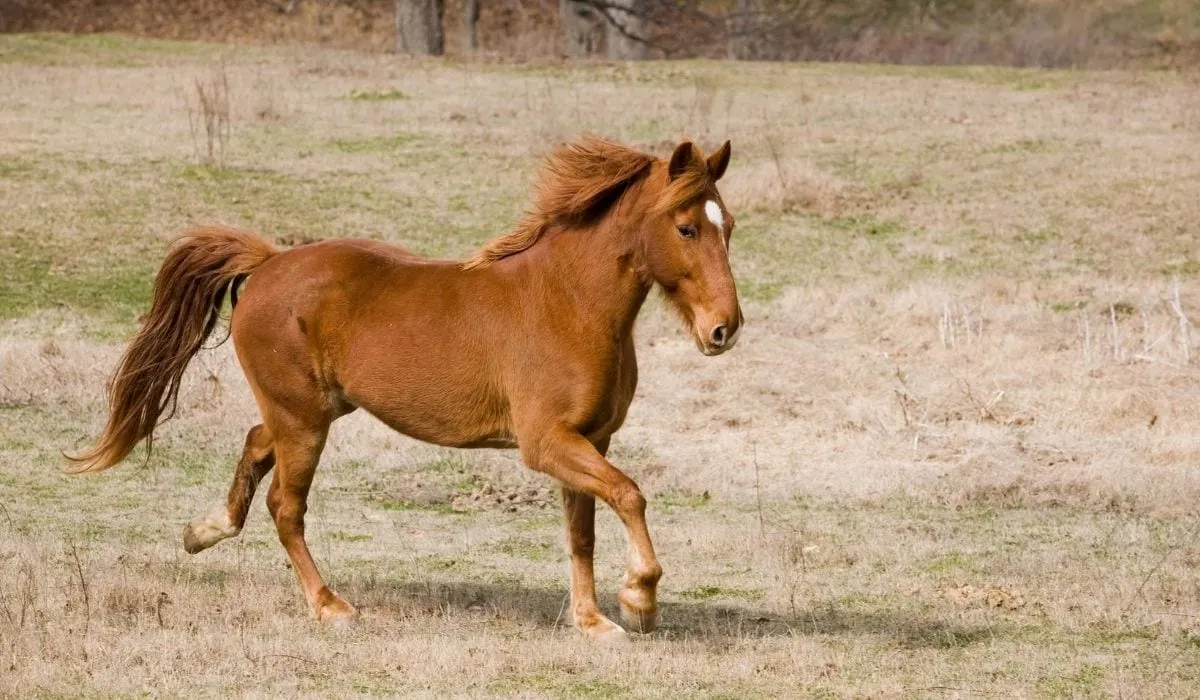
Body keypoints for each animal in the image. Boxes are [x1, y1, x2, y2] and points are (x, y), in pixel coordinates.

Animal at [69, 135, 743, 641]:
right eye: (686, 228)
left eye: (728, 226)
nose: (724, 328)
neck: (569, 303)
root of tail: (265, 264)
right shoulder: (547, 443)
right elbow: (630, 495)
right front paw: (639, 602)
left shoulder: (589, 440)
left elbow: (584, 531)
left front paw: (593, 621)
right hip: (305, 423)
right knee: (285, 506)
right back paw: (329, 606)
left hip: (312, 410)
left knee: (257, 445)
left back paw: (203, 531)